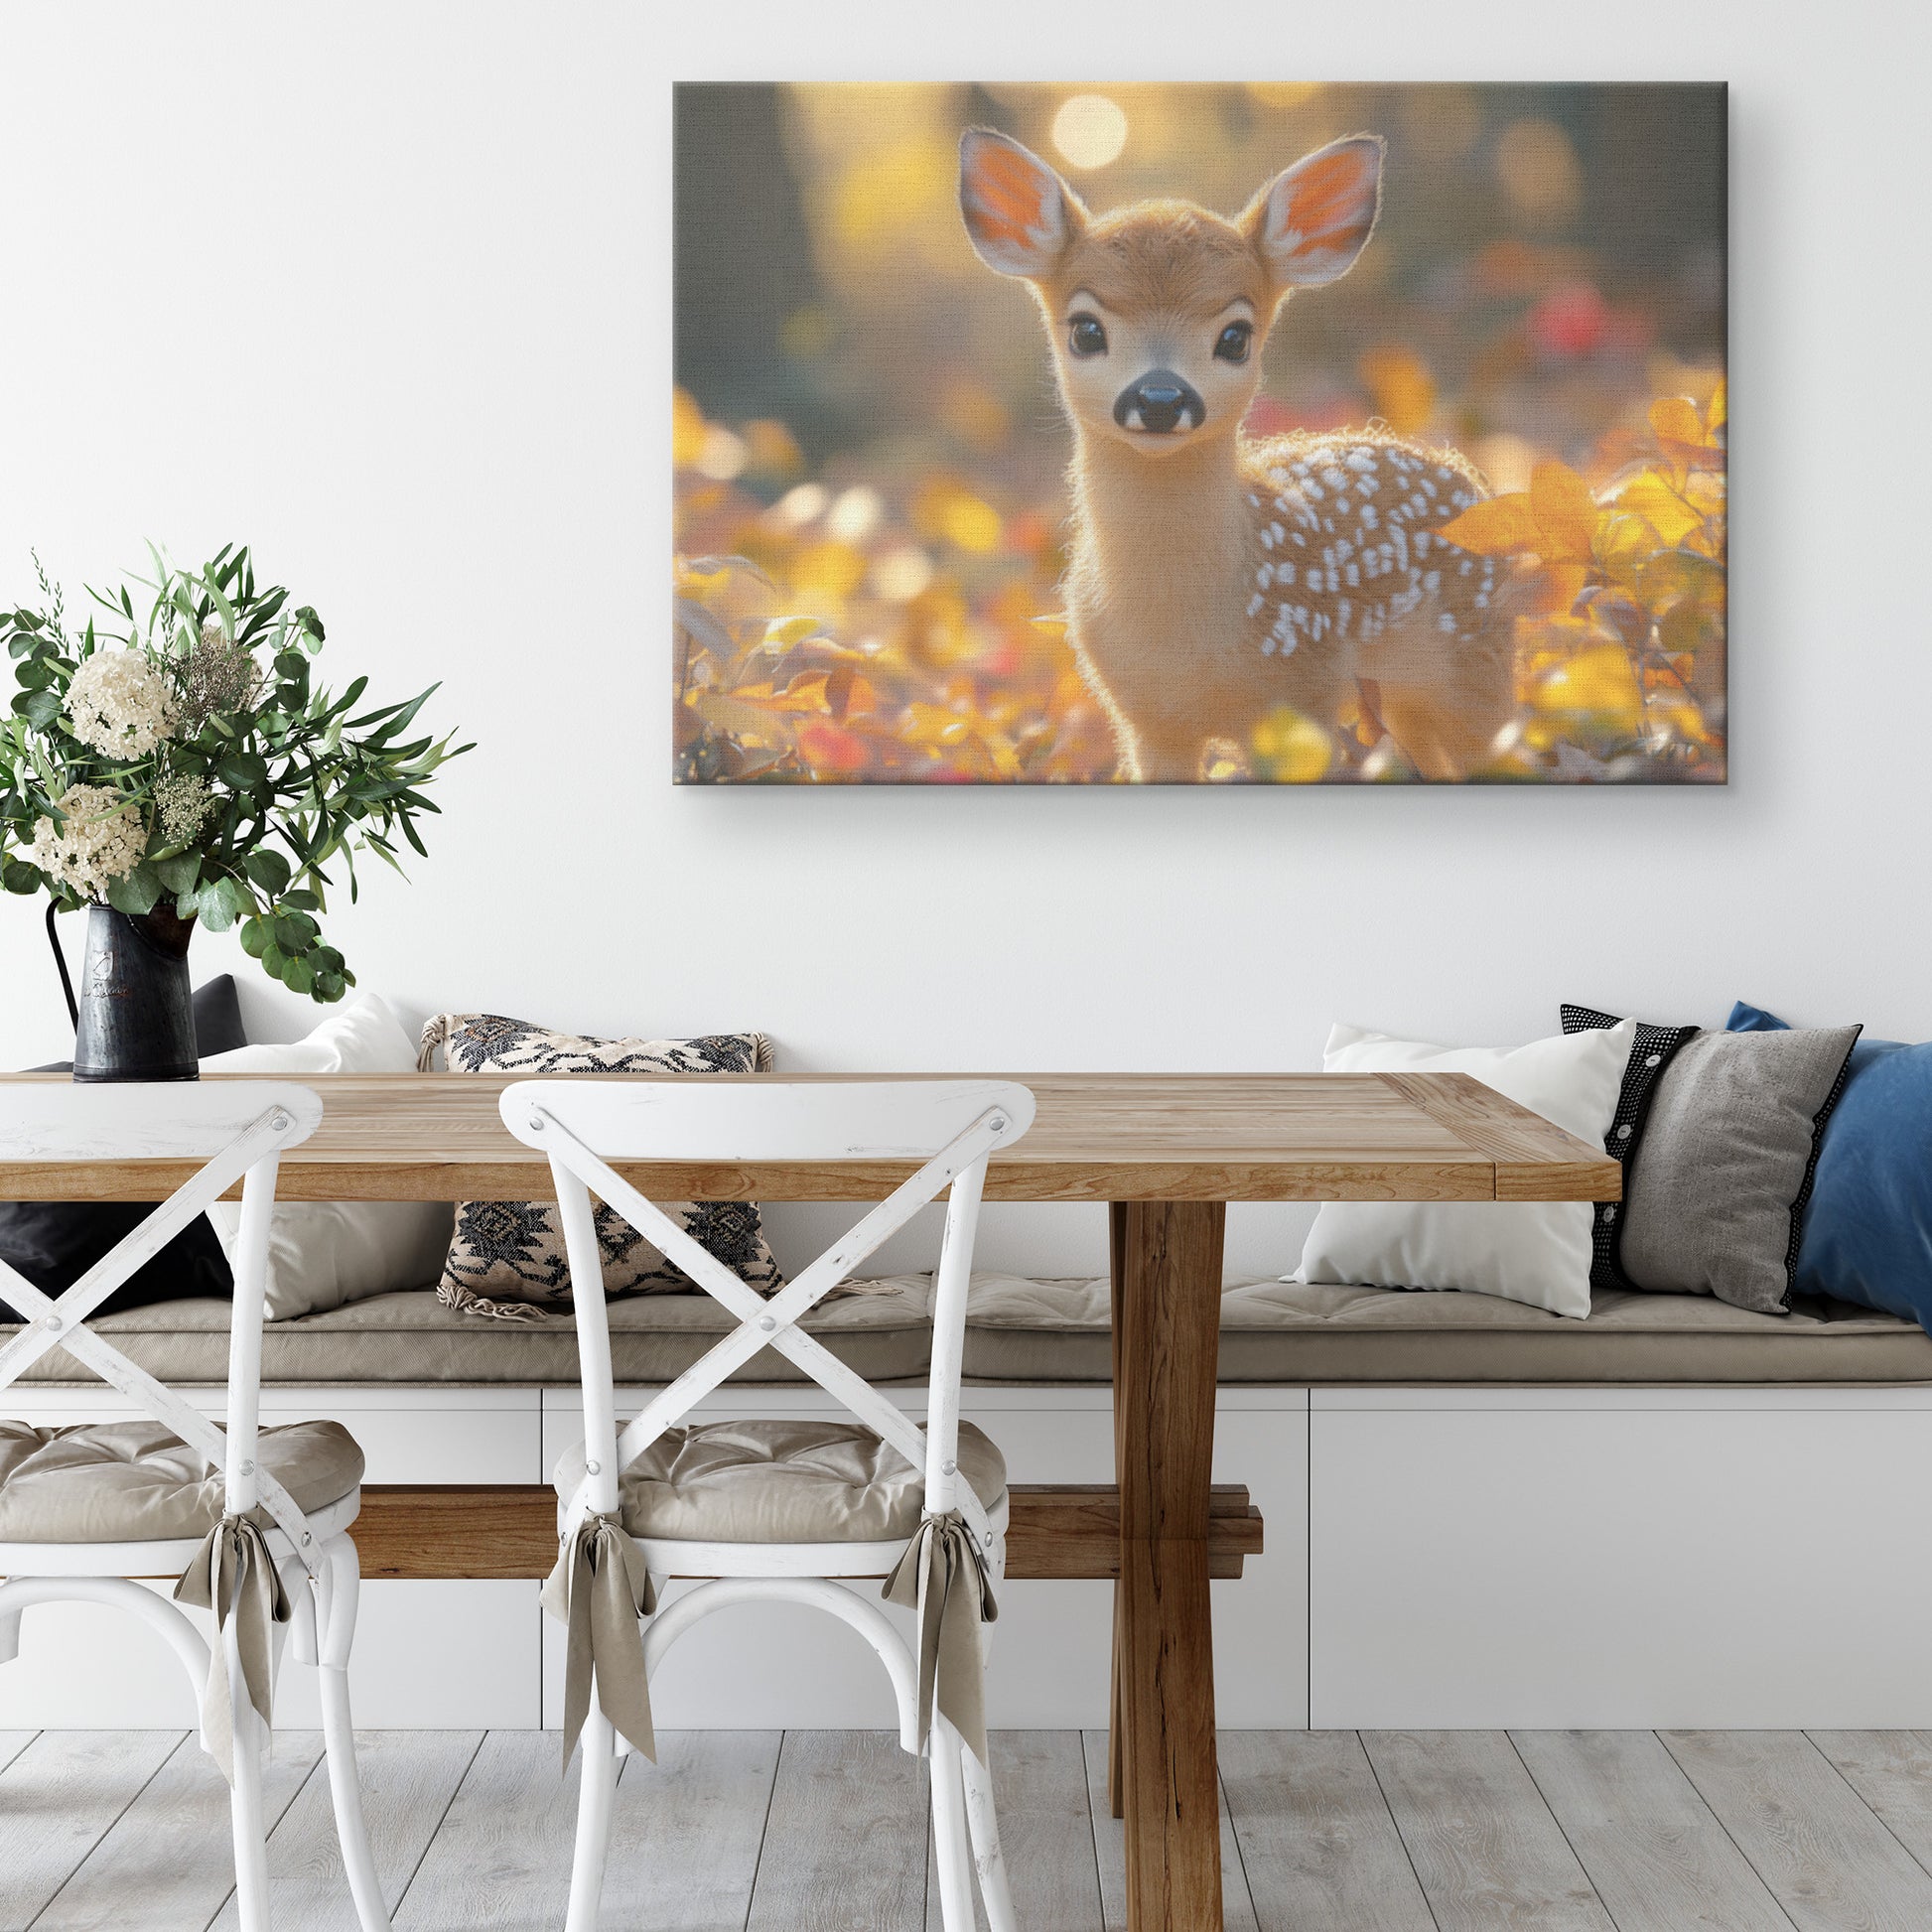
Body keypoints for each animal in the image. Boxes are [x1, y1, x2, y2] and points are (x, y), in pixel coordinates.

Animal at [957, 126, 1517, 782]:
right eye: (1086, 330)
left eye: (1235, 337)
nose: (1160, 397)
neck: (1180, 638)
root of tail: (1466, 473)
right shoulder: (1145, 718)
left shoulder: (1305, 684)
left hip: (1476, 656)